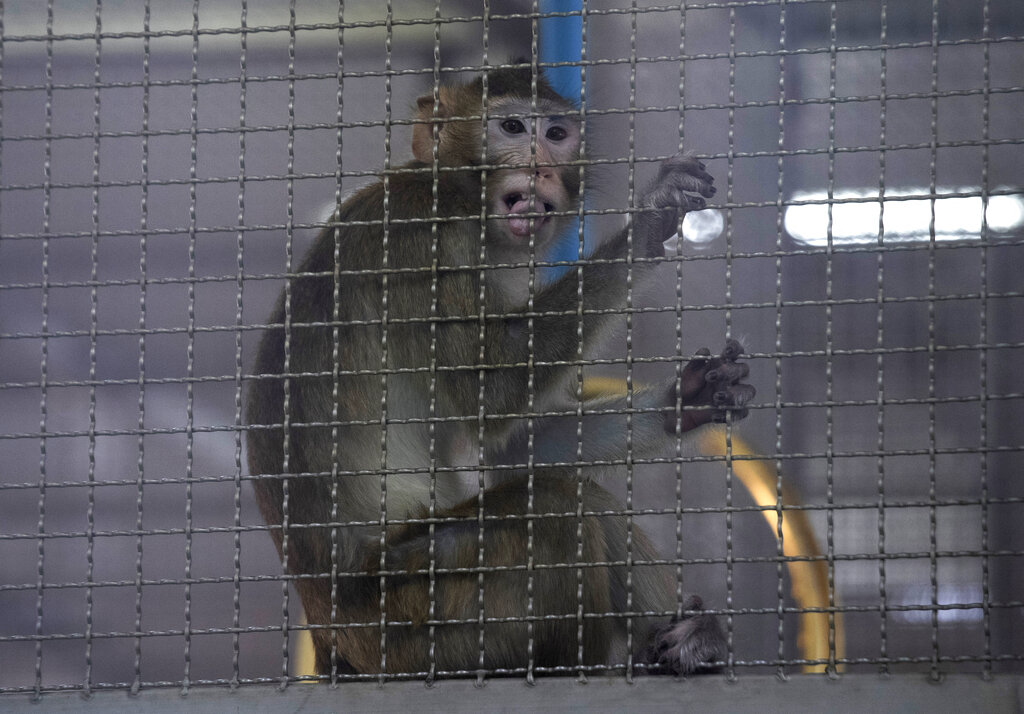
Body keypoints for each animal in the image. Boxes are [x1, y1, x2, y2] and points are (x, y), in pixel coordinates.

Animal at [245, 65, 755, 679]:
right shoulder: (425, 241)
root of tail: (330, 636)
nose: (541, 167)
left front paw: (689, 398)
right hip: (414, 617)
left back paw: (686, 643)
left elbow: (508, 453)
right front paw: (649, 222)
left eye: (557, 134)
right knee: (554, 508)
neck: (457, 195)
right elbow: (491, 393)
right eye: (512, 127)